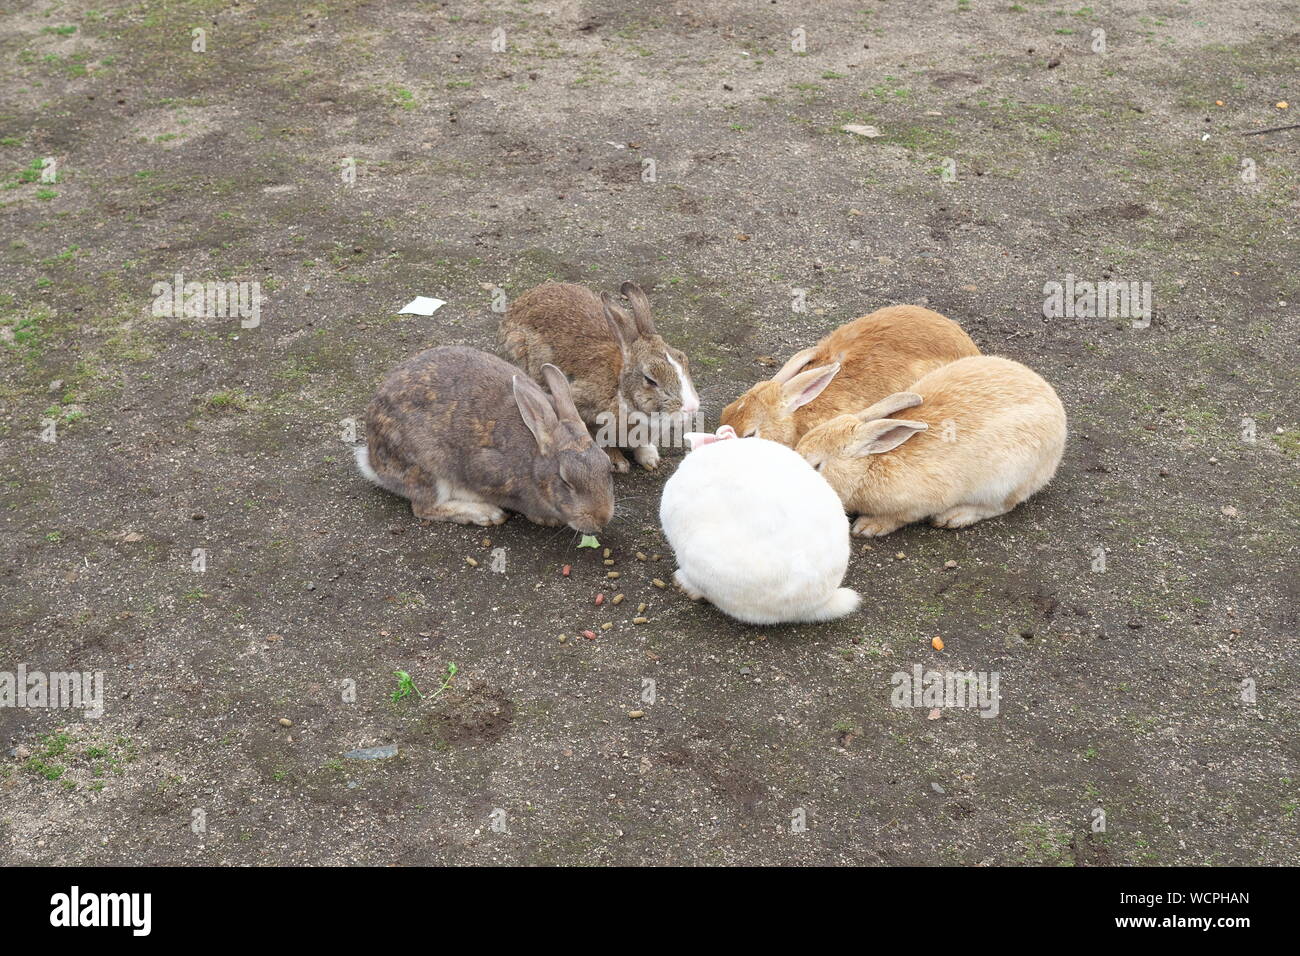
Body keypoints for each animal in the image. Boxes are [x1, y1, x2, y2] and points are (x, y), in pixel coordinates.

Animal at [356, 345, 615, 534]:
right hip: (425, 469)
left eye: (608, 467)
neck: (534, 458)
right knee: (424, 507)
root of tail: (374, 462)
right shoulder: (486, 471)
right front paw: (545, 519)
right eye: (565, 480)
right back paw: (485, 513)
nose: (602, 518)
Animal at [500, 281, 700, 474]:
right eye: (650, 379)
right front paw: (618, 463)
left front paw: (650, 460)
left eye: (684, 360)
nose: (691, 408)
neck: (621, 392)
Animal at [795, 355, 1066, 537]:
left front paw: (868, 527)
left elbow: (898, 517)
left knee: (1001, 505)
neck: (870, 466)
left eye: (817, 465)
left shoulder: (918, 504)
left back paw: (954, 517)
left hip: (1006, 477)